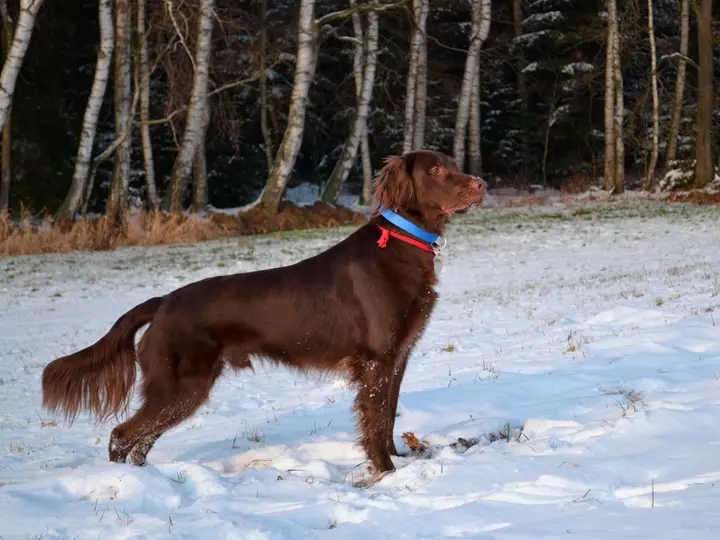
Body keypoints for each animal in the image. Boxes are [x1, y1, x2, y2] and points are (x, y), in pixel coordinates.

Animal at [42, 150, 486, 474]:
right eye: (435, 169)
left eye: (453, 163)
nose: (481, 184)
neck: (401, 245)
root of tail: (163, 302)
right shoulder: (377, 362)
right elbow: (375, 422)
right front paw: (385, 472)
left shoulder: (397, 358)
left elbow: (389, 416)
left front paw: (397, 461)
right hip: (180, 386)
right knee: (122, 434)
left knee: (140, 439)